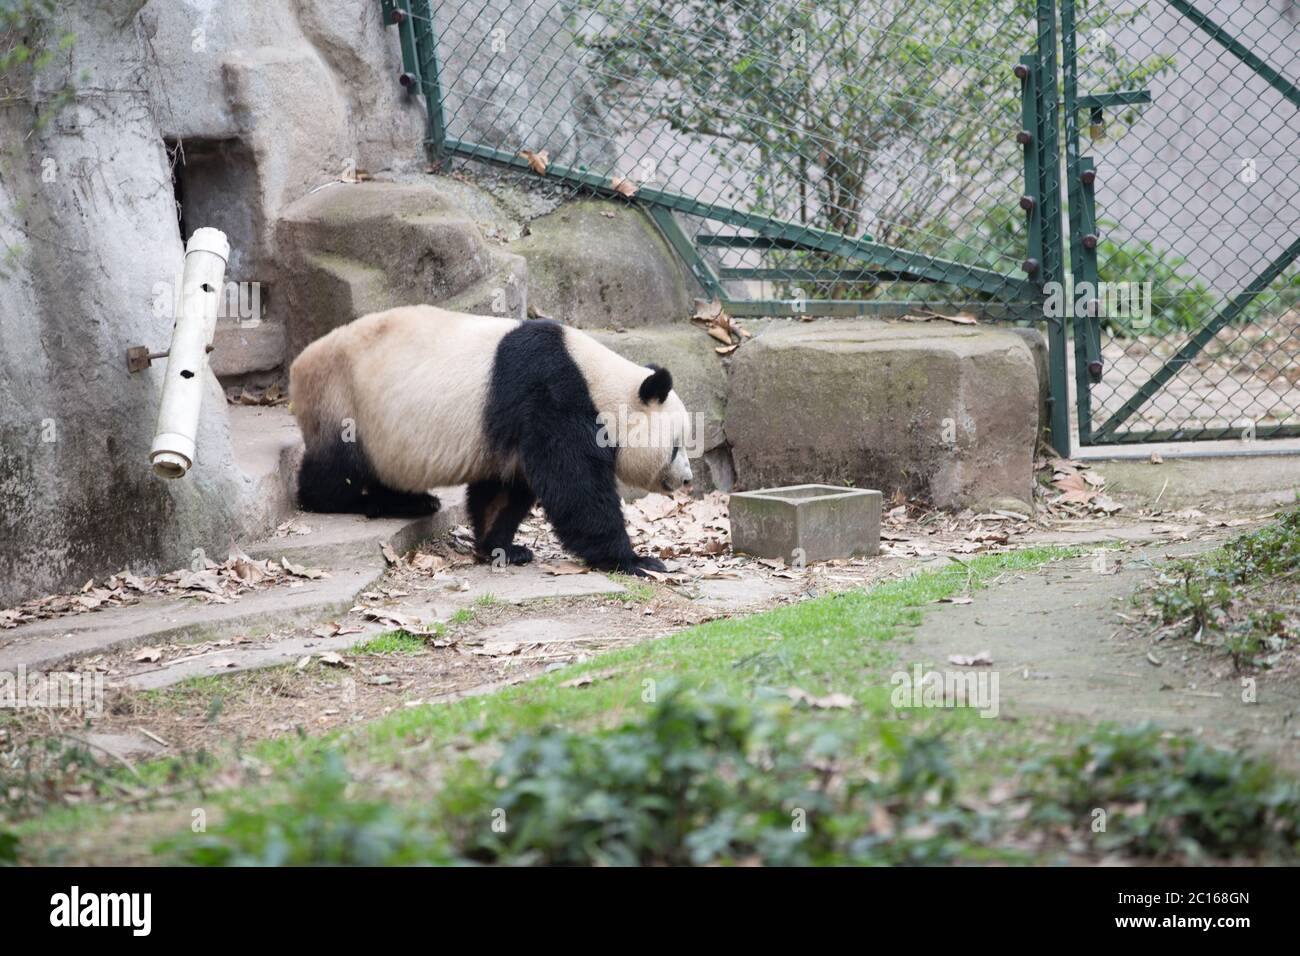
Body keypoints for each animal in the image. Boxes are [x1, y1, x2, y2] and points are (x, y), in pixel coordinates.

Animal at [289, 305, 693, 577]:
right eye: (677, 445)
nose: (687, 479)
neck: (600, 381)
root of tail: (298, 365)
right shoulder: (552, 392)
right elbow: (576, 484)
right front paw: (635, 560)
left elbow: (505, 488)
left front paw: (502, 548)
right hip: (344, 400)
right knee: (338, 468)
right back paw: (356, 500)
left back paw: (413, 502)